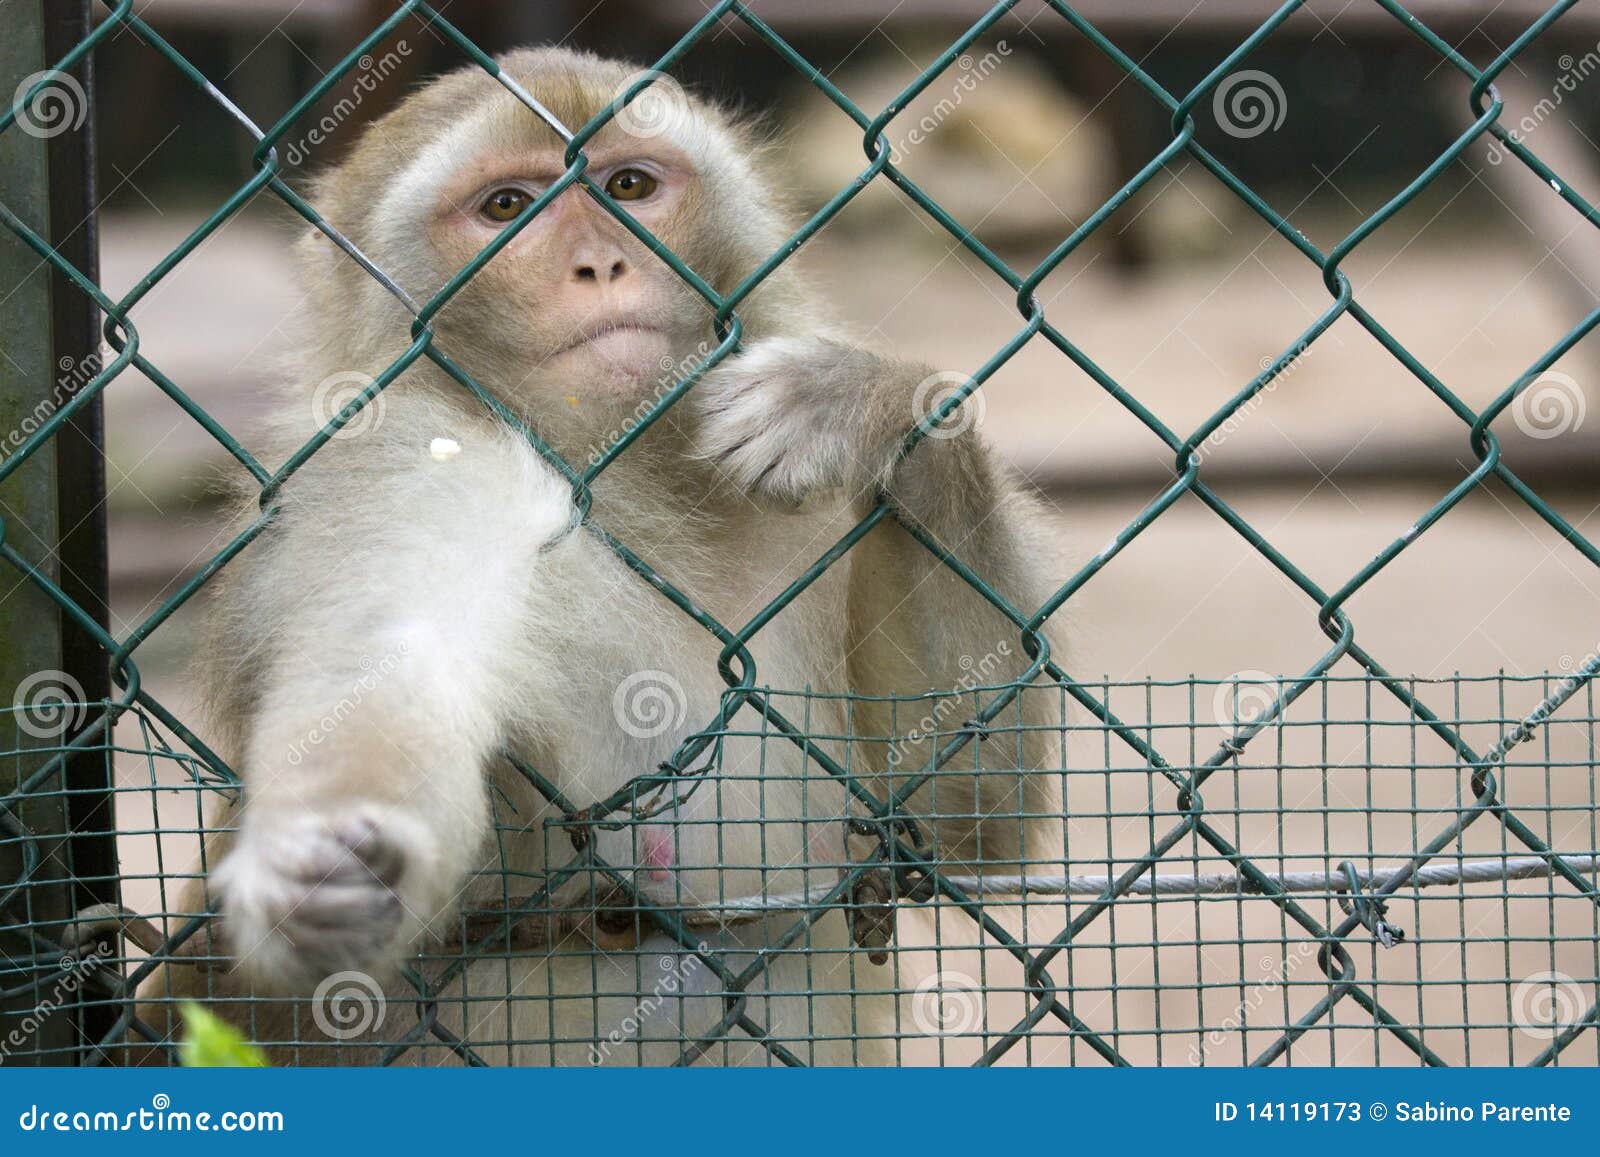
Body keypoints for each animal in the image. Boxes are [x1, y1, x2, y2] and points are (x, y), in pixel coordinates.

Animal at [132, 46, 1065, 1067]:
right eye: (507, 206)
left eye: (629, 187)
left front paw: (871, 400)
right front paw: (333, 861)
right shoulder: (404, 462)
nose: (602, 262)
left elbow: (957, 821)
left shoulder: (807, 511)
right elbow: (388, 660)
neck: (616, 481)